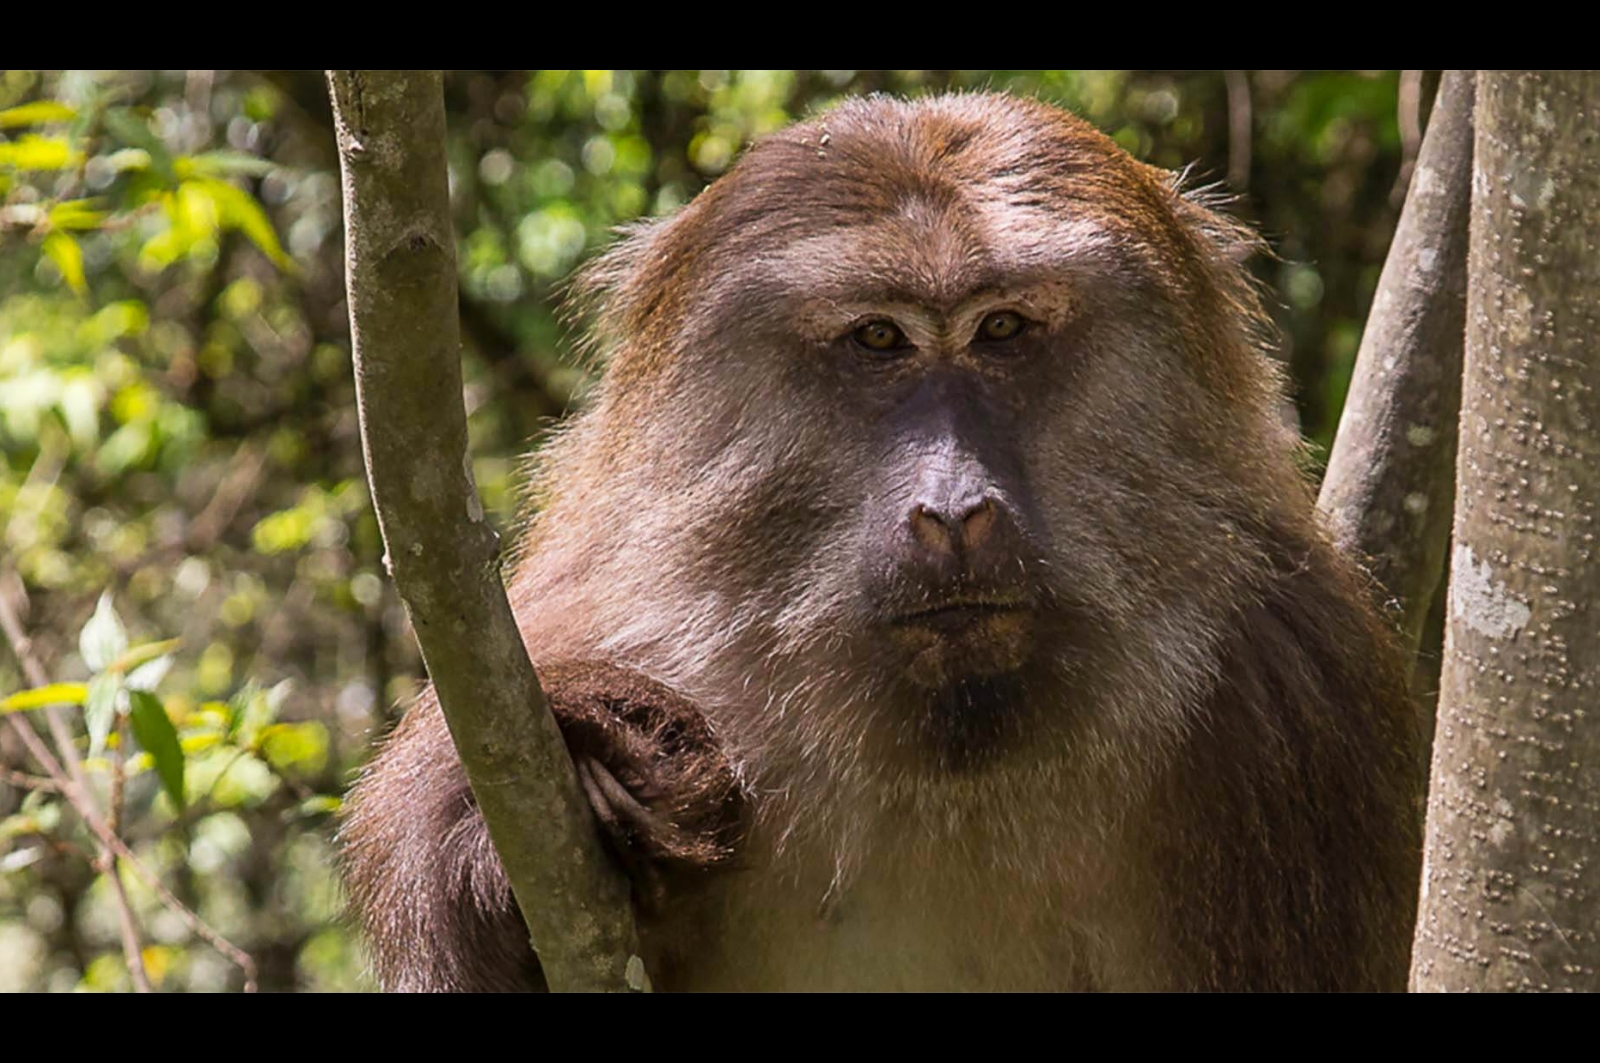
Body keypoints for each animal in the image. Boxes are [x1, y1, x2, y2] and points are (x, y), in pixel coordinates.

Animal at [340, 92, 1423, 992]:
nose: (951, 509)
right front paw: (578, 784)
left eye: (1000, 328)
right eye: (879, 340)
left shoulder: (1290, 694)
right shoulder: (589, 619)